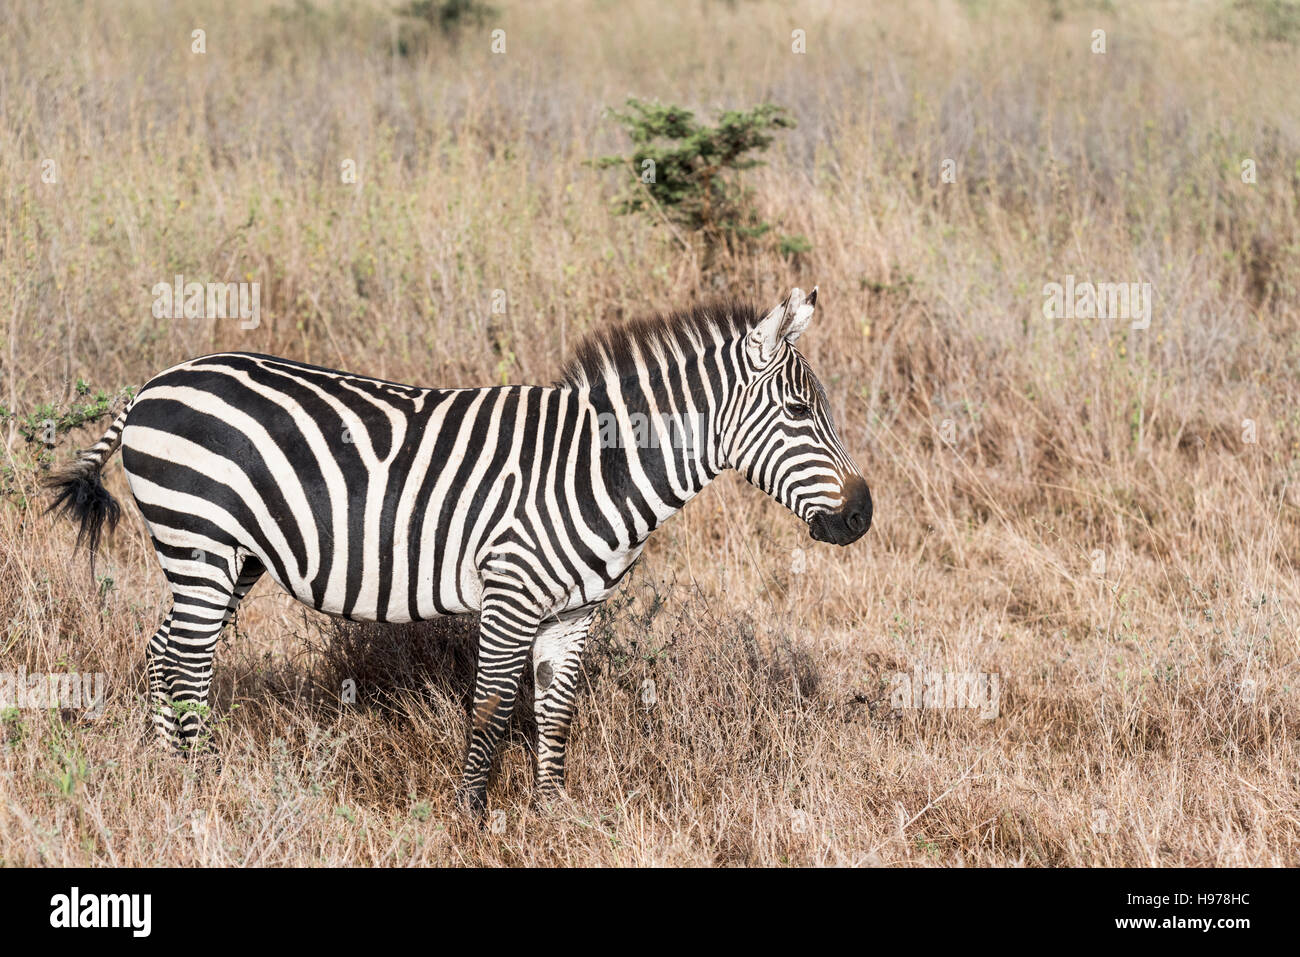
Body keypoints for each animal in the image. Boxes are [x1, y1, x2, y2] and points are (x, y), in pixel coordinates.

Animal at [46, 286, 871, 813]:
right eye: (798, 411)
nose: (861, 515)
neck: (597, 467)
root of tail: (155, 383)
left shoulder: (575, 611)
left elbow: (557, 708)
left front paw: (553, 810)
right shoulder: (511, 590)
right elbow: (494, 704)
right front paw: (472, 811)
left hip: (228, 556)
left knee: (164, 651)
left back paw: (169, 770)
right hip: (201, 537)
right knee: (188, 659)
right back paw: (203, 777)